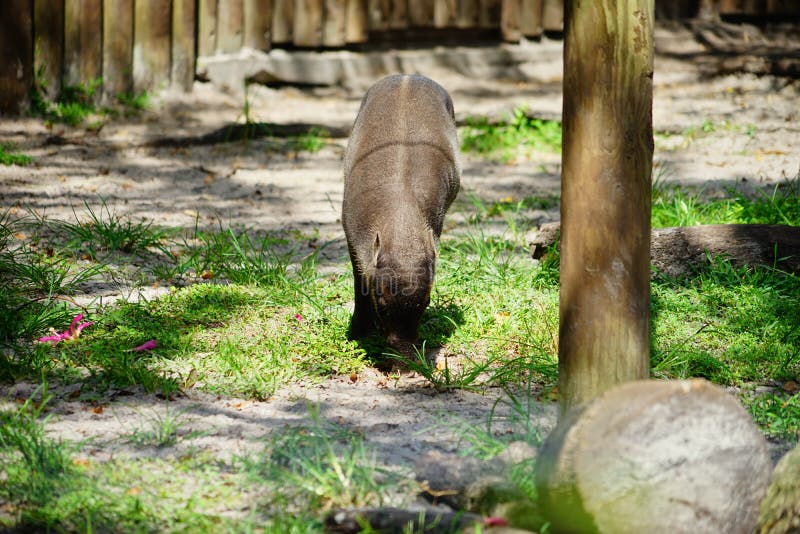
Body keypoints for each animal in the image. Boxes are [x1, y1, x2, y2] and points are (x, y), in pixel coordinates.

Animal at [342, 74, 461, 359]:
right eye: (382, 305)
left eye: (426, 303)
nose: (406, 362)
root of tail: (409, 75)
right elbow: (359, 283)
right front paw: (357, 335)